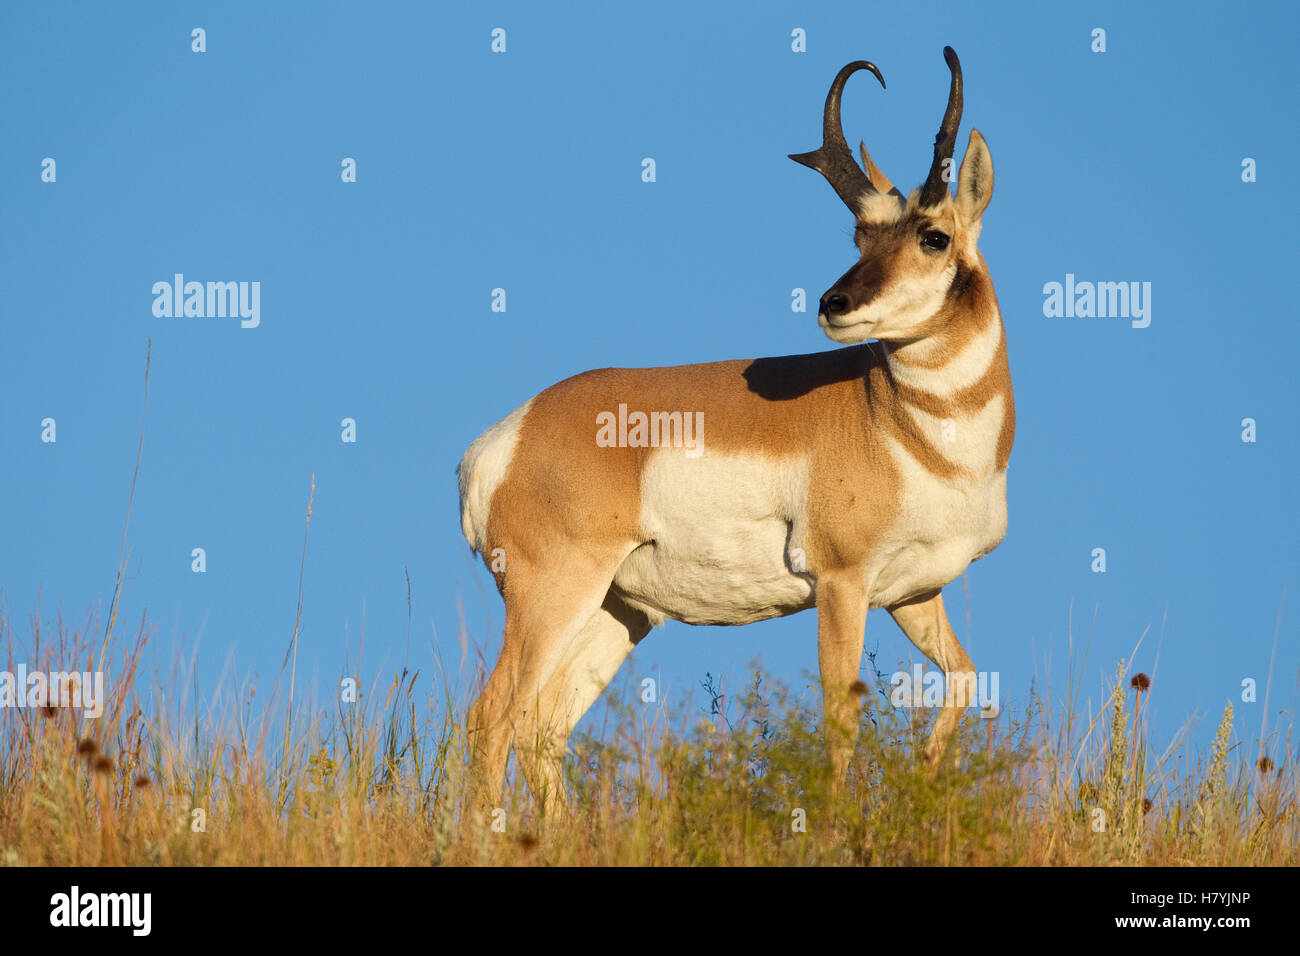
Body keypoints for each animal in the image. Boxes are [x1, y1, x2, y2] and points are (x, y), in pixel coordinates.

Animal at [458, 46, 1012, 811]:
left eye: (934, 237)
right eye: (861, 235)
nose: (834, 302)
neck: (908, 427)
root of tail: (506, 438)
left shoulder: (913, 592)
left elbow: (968, 679)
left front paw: (925, 785)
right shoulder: (842, 582)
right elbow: (840, 720)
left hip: (616, 612)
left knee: (541, 726)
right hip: (553, 596)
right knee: (491, 720)